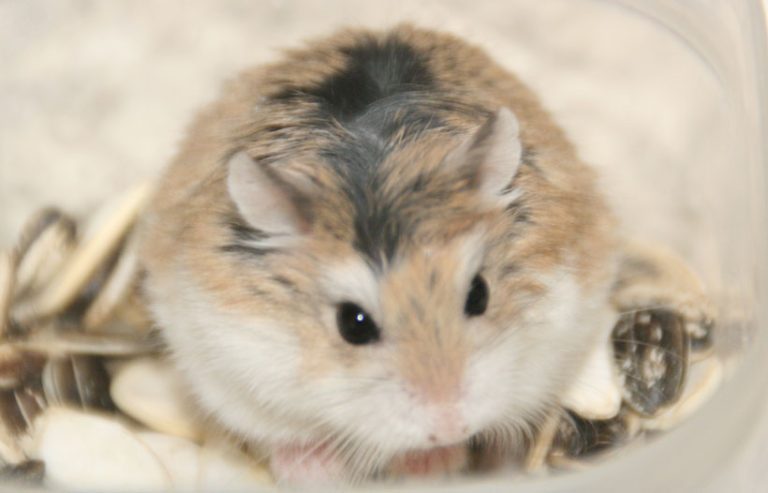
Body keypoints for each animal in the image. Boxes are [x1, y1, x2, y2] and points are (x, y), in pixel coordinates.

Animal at [139, 25, 620, 484]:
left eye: (479, 295)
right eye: (353, 325)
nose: (450, 427)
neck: (375, 188)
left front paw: (434, 461)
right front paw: (319, 470)